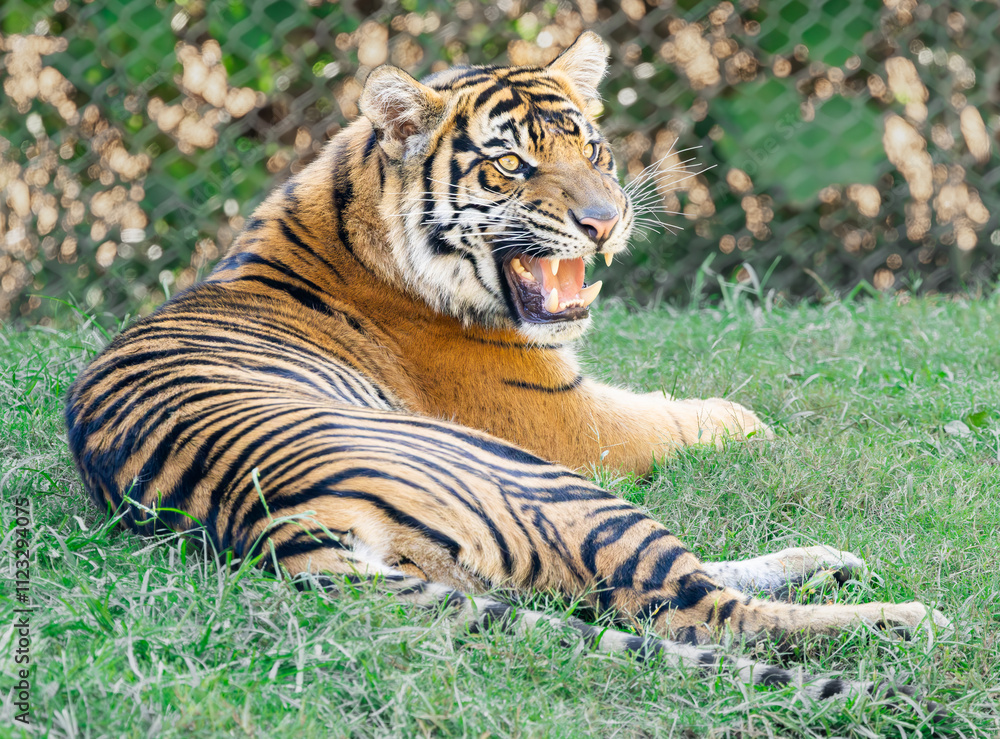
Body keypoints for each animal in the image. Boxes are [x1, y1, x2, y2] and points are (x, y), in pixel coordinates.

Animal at [65, 32, 949, 713]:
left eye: (591, 148)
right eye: (513, 166)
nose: (605, 221)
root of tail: (272, 525)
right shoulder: (571, 418)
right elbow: (696, 415)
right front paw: (757, 425)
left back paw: (829, 560)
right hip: (557, 489)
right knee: (703, 609)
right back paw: (905, 616)